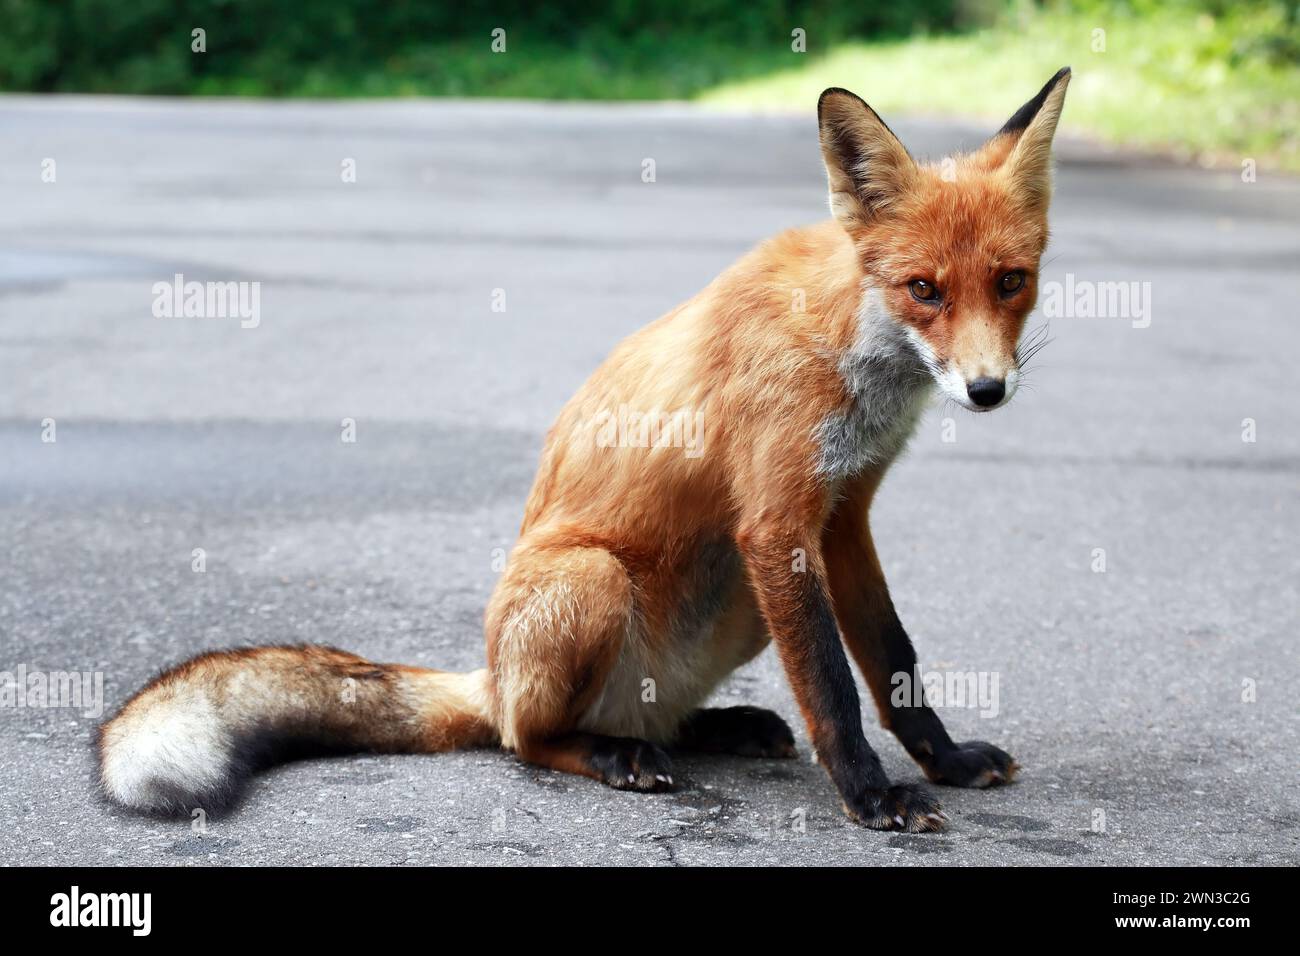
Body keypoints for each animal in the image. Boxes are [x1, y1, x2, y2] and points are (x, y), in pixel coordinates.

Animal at [98, 68, 1071, 832]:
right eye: (923, 290)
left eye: (1011, 282)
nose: (987, 390)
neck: (846, 344)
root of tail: (490, 679)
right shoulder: (775, 523)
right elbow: (833, 686)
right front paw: (871, 798)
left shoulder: (842, 516)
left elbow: (893, 661)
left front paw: (942, 759)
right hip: (595, 580)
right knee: (525, 742)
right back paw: (609, 755)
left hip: (738, 600)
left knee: (657, 719)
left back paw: (714, 728)